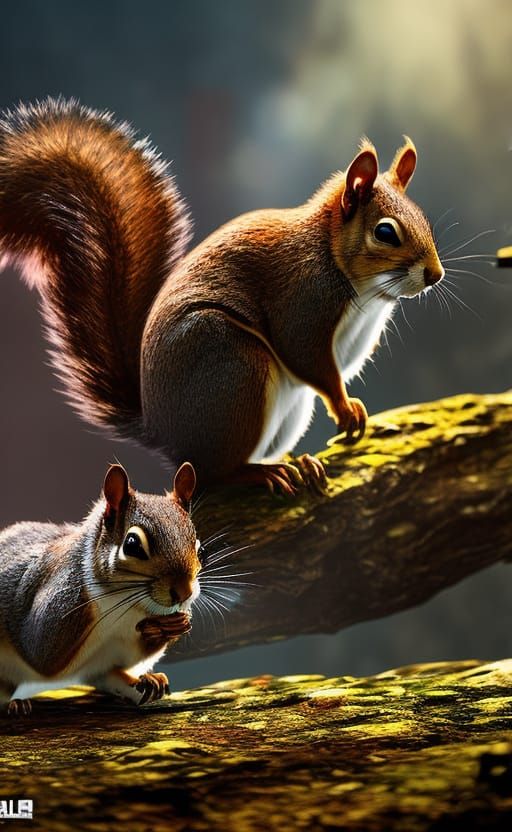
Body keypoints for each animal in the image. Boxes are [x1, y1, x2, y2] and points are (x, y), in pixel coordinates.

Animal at [0, 99, 444, 495]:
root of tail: (163, 433)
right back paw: (260, 473)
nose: (435, 275)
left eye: (424, 219)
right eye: (385, 232)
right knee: (212, 475)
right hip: (234, 368)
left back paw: (295, 462)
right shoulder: (302, 299)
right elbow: (308, 358)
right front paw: (345, 406)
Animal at [0, 460, 200, 716]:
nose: (185, 593)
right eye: (132, 544)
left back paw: (149, 682)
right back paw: (15, 704)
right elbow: (41, 652)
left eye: (198, 546)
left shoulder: (113, 652)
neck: (127, 607)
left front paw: (172, 625)